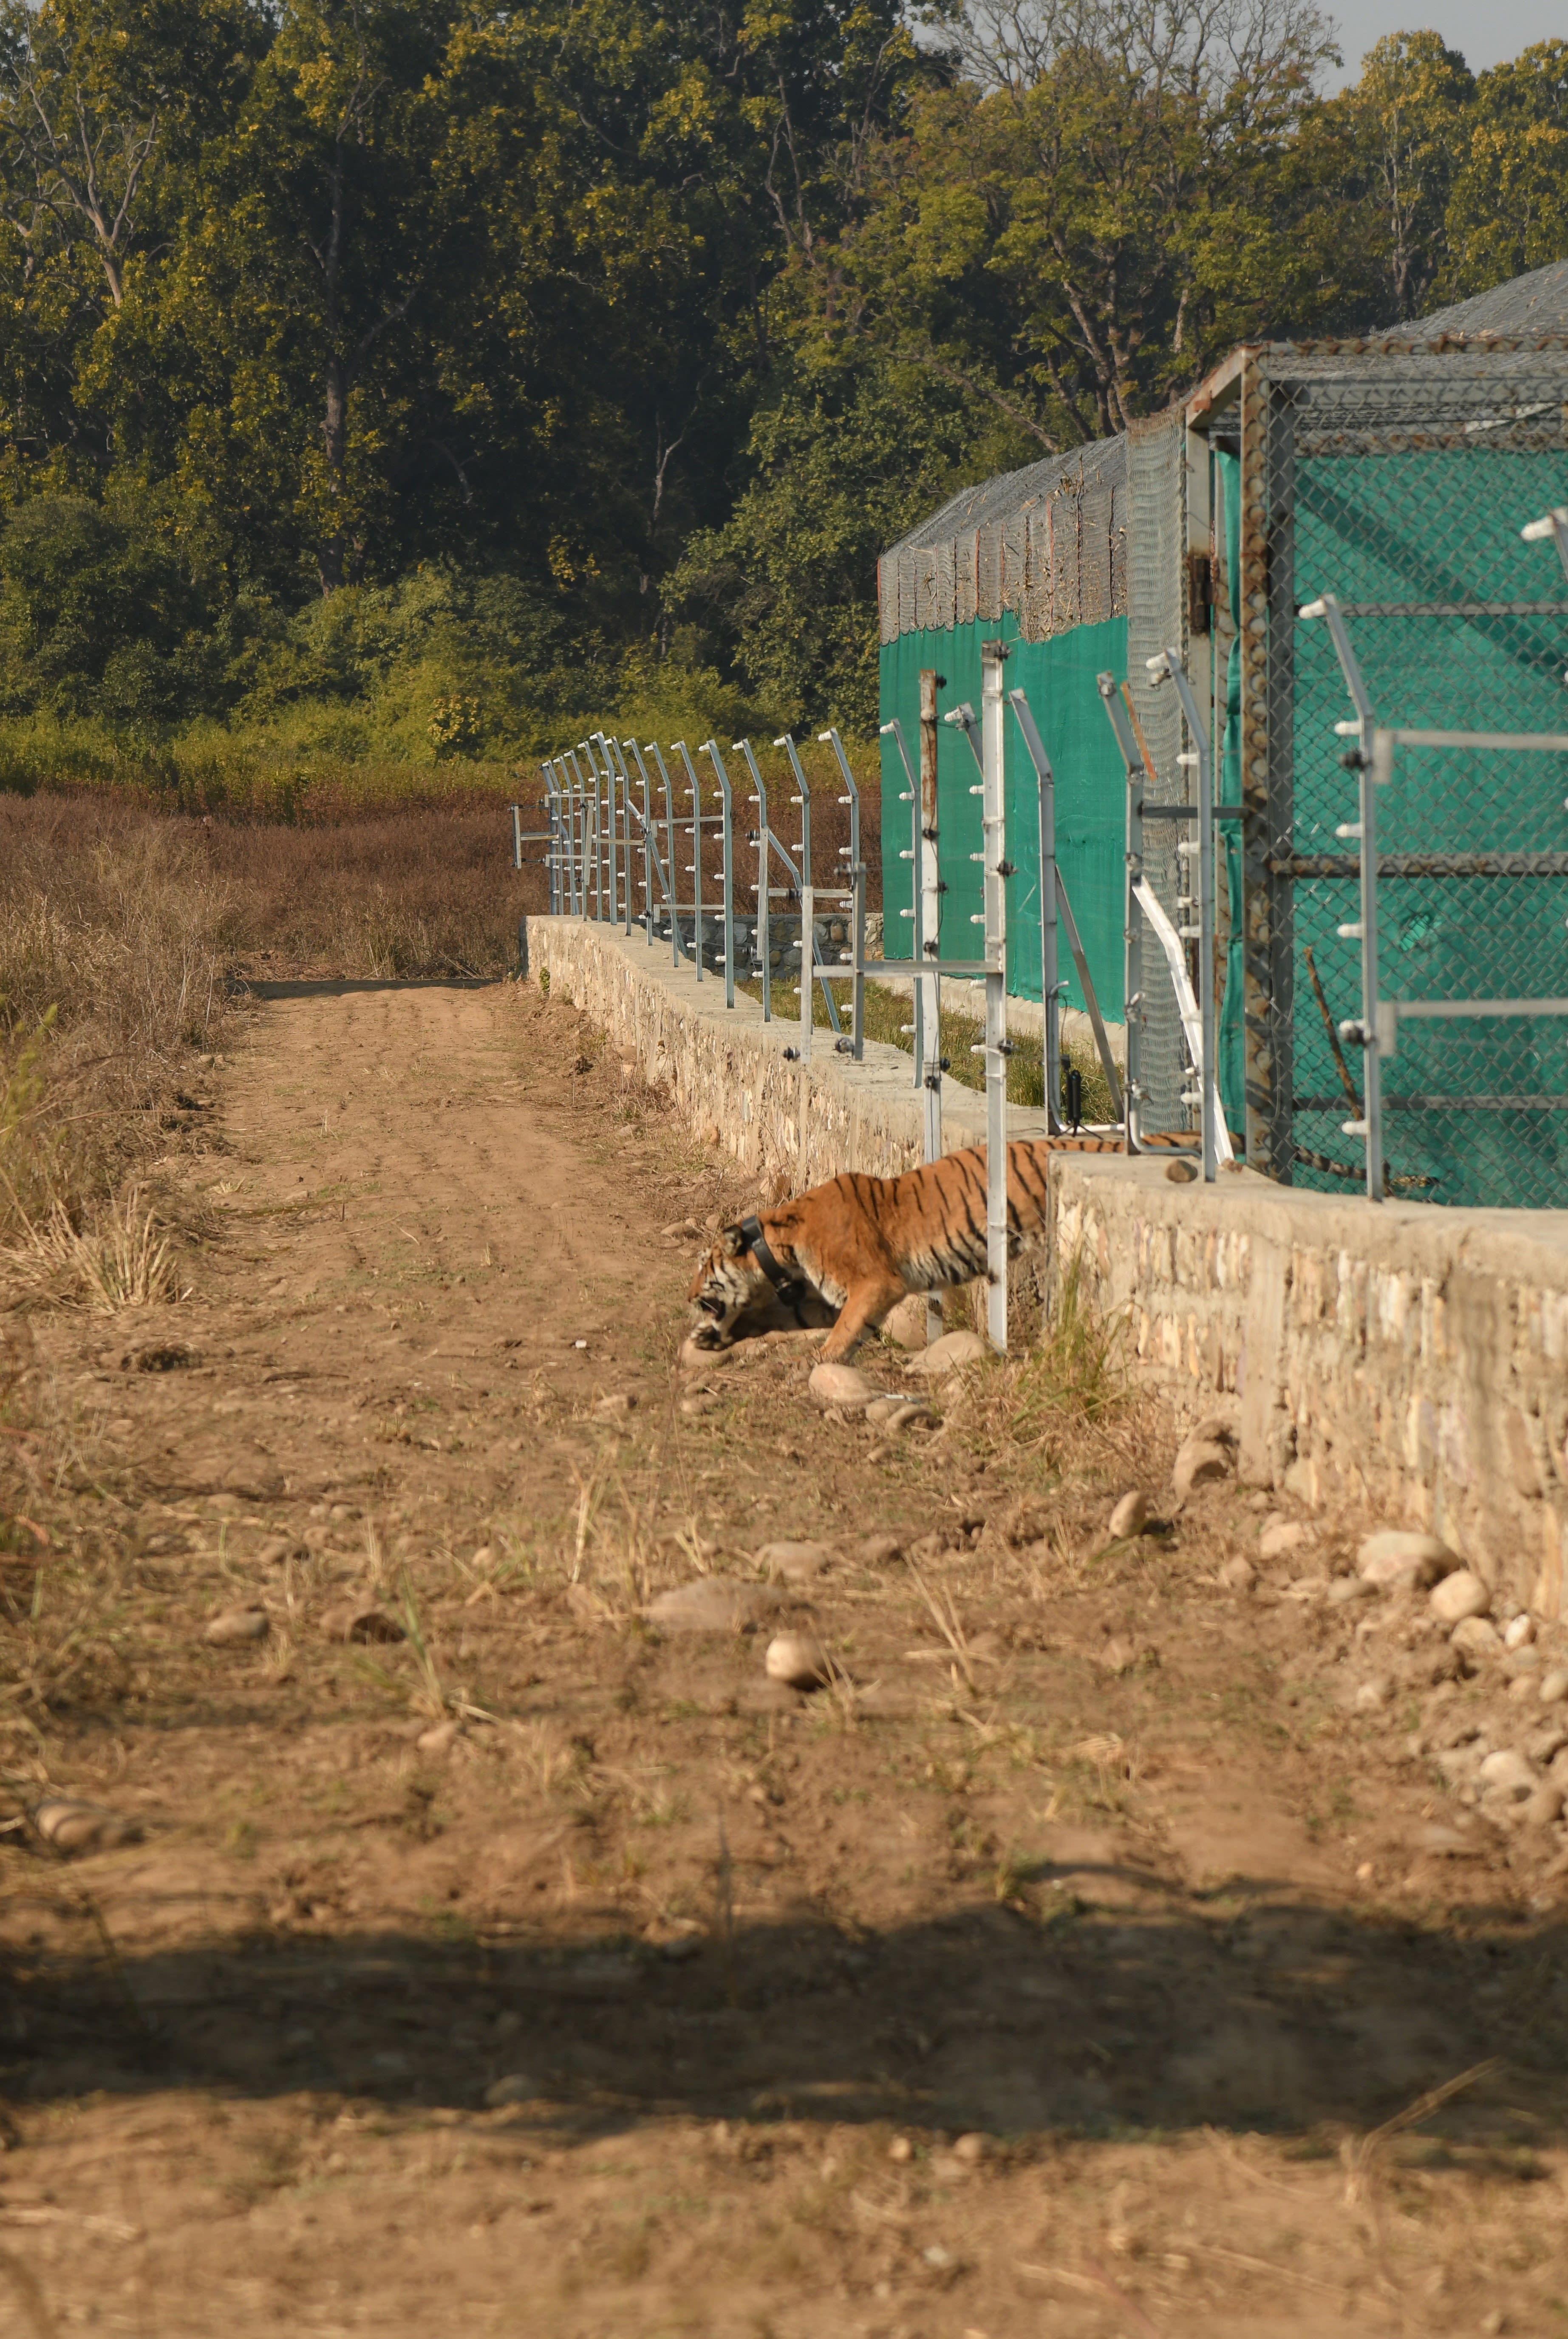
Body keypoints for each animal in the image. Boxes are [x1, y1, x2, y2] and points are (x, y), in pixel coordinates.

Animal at [687, 1134, 1123, 1361]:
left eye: (704, 1267)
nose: (689, 1297)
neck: (782, 1250)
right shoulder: (825, 1297)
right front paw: (708, 1337)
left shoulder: (876, 1284)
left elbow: (844, 1331)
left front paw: (822, 1363)